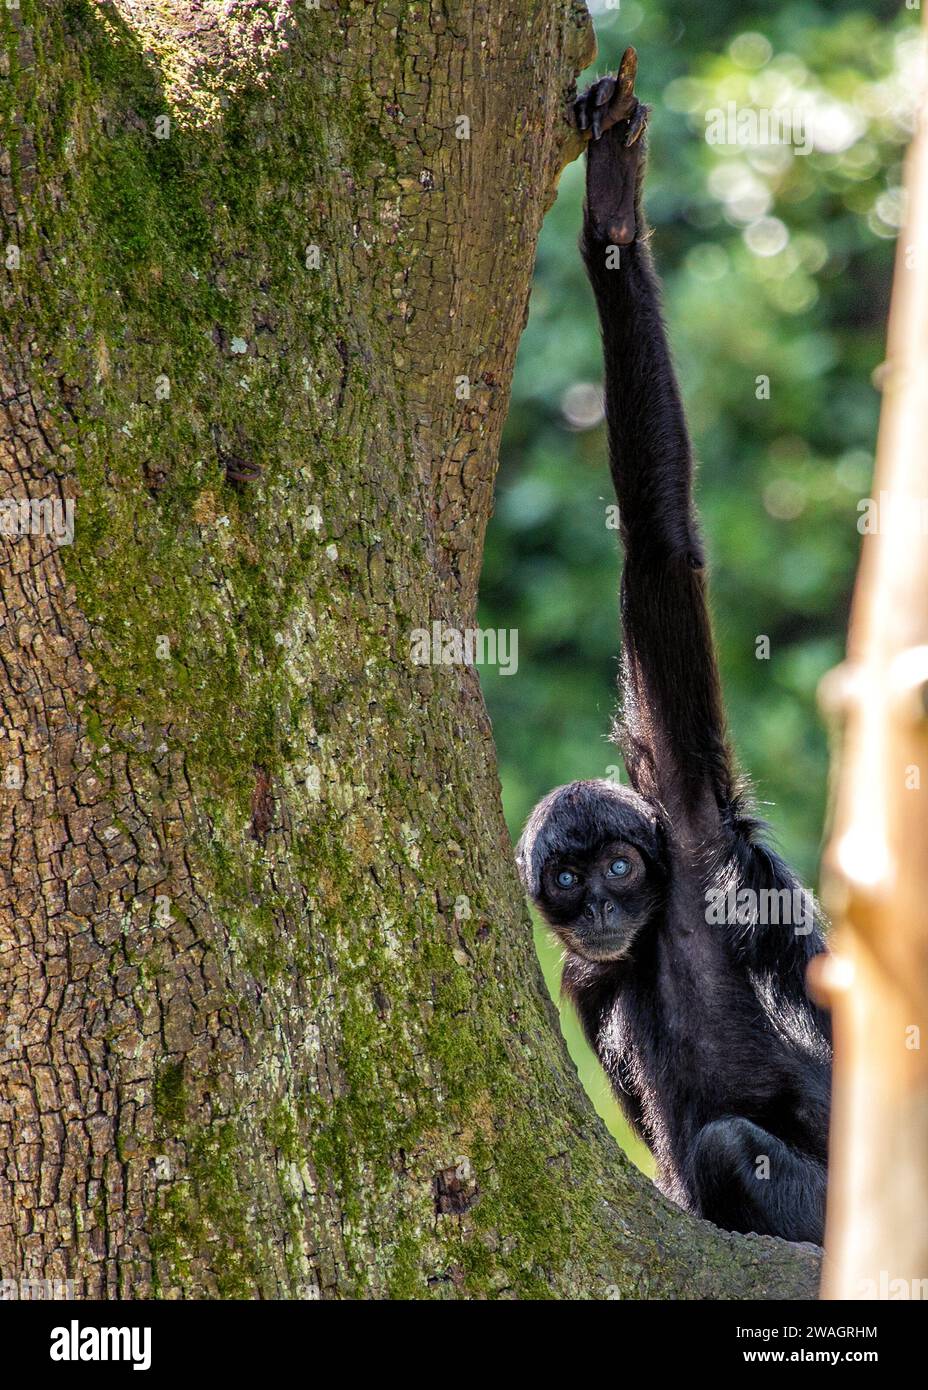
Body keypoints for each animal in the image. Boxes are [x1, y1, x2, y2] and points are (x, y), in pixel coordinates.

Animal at [515, 49, 831, 1245]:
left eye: (619, 867)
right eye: (569, 878)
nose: (604, 906)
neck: (653, 940)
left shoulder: (692, 822)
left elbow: (658, 547)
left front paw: (610, 208)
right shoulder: (584, 977)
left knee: (728, 1145)